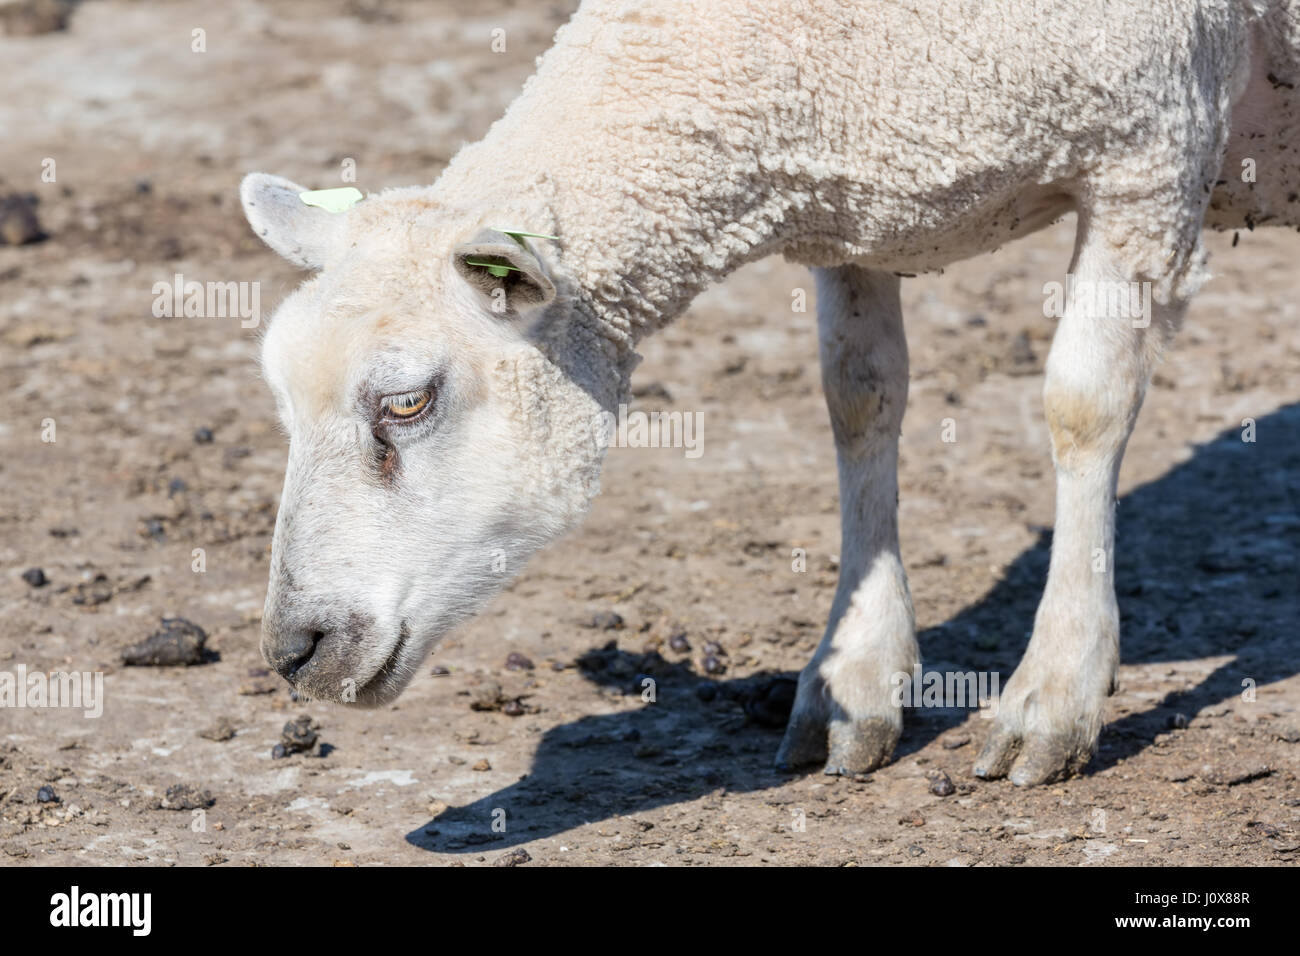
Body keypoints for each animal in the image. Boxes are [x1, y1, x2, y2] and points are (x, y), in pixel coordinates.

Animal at [240, 0, 1300, 786]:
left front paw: (1056, 695)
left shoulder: (1149, 150)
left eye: (408, 402)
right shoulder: (858, 209)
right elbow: (859, 397)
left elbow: (1084, 407)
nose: (294, 651)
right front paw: (853, 678)